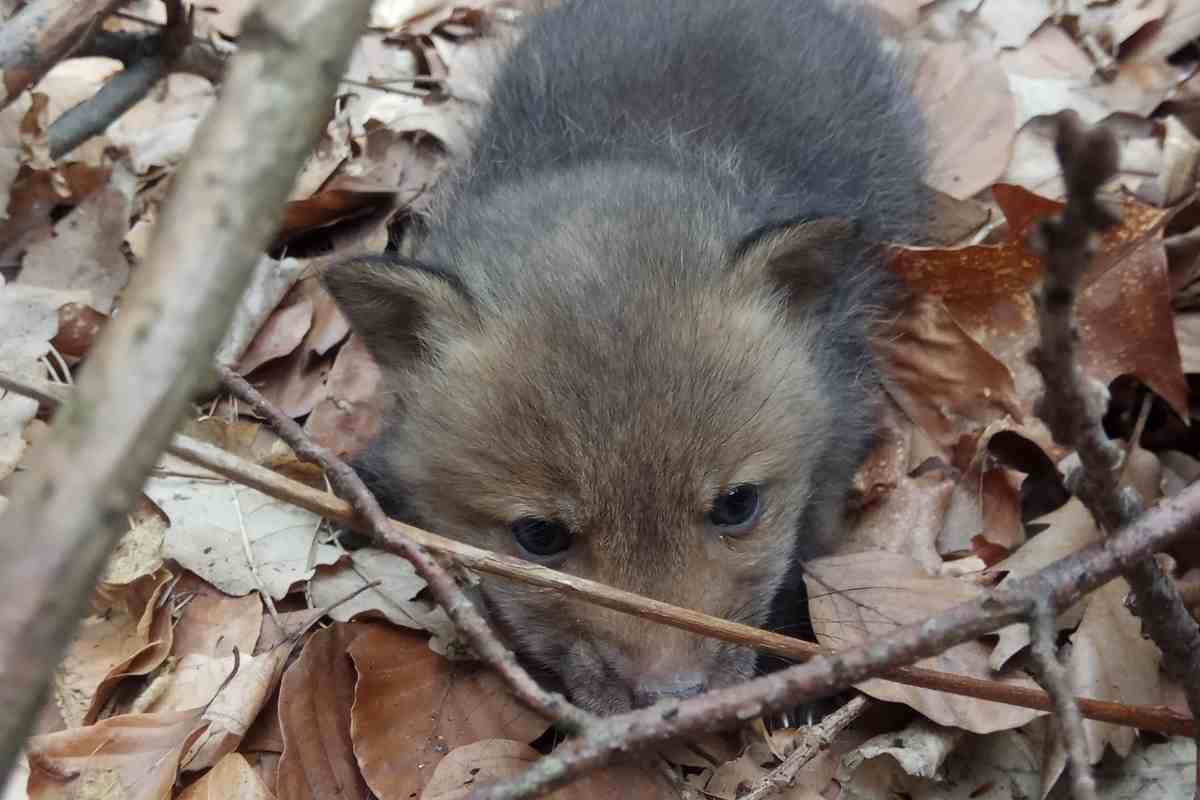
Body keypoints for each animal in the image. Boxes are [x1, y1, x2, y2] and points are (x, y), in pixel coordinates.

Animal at [323, 0, 927, 714]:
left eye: (738, 505)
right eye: (540, 537)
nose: (674, 692)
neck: (636, 142)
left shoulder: (840, 419)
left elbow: (810, 549)